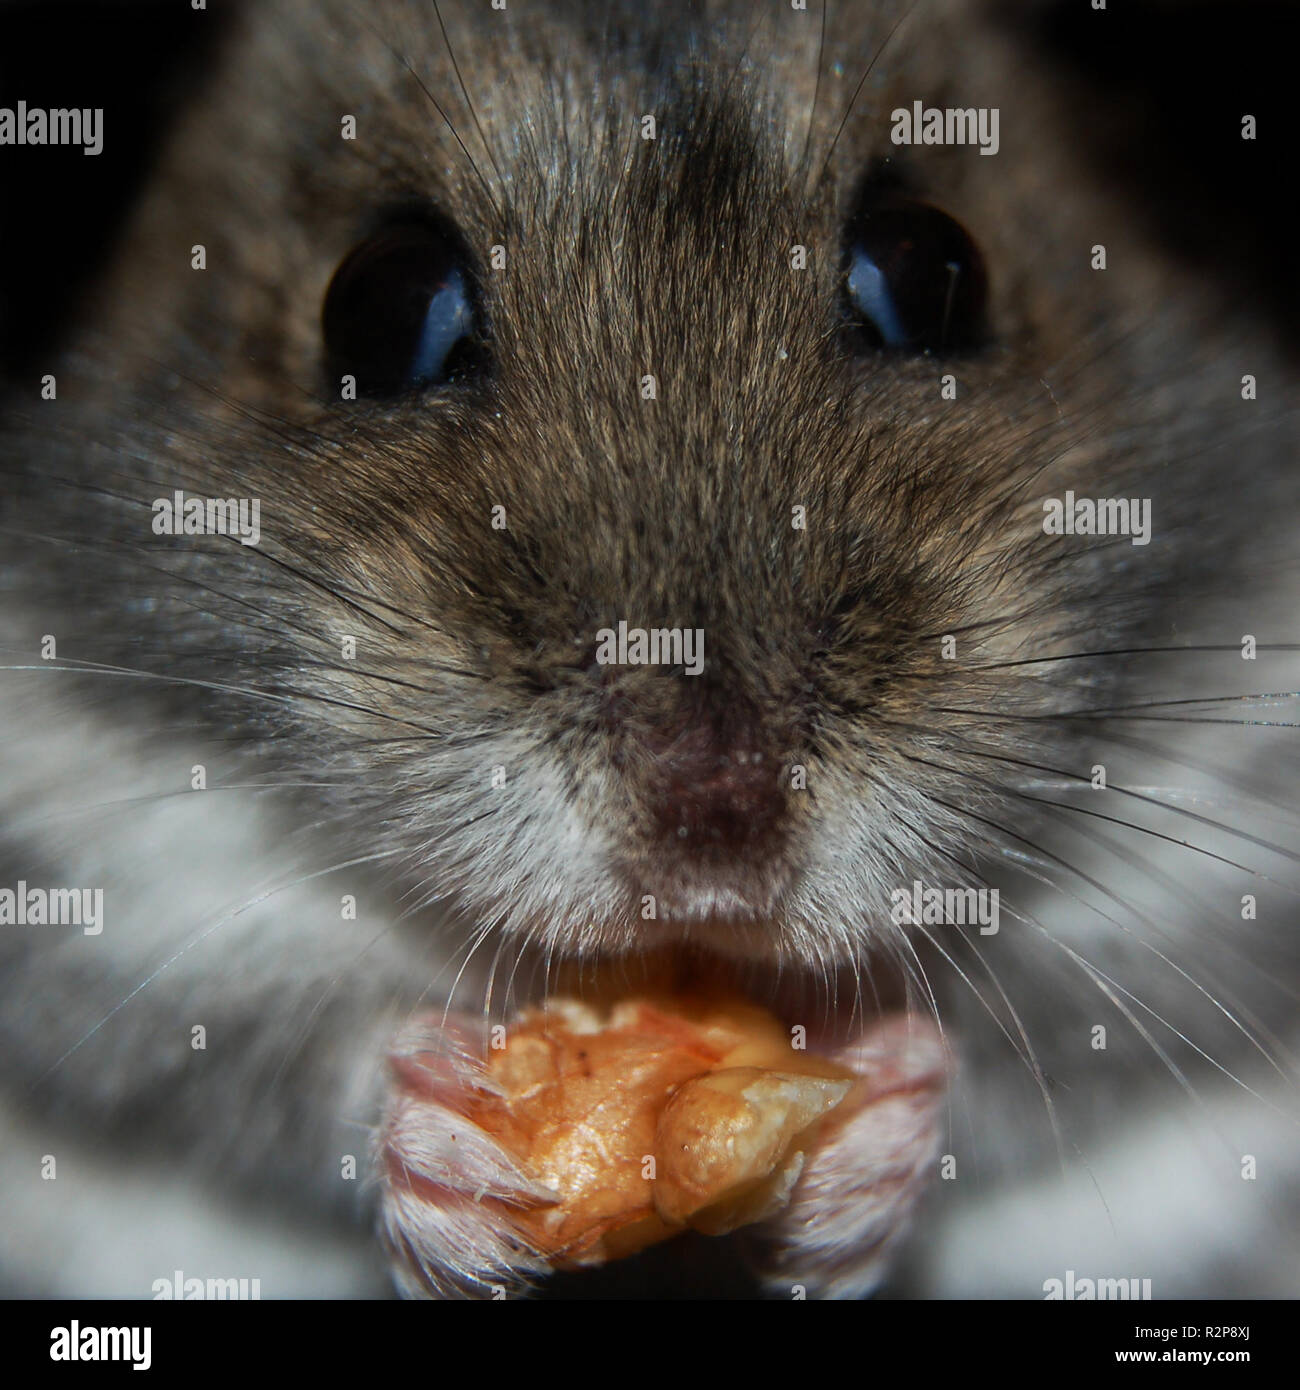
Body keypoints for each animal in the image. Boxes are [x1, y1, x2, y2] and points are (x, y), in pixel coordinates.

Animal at [1, 0, 1297, 1298]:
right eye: (382, 305)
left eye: (930, 271)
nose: (714, 852)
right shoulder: (111, 893)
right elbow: (277, 1055)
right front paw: (450, 1141)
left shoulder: (1201, 877)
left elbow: (1023, 1061)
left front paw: (873, 1137)